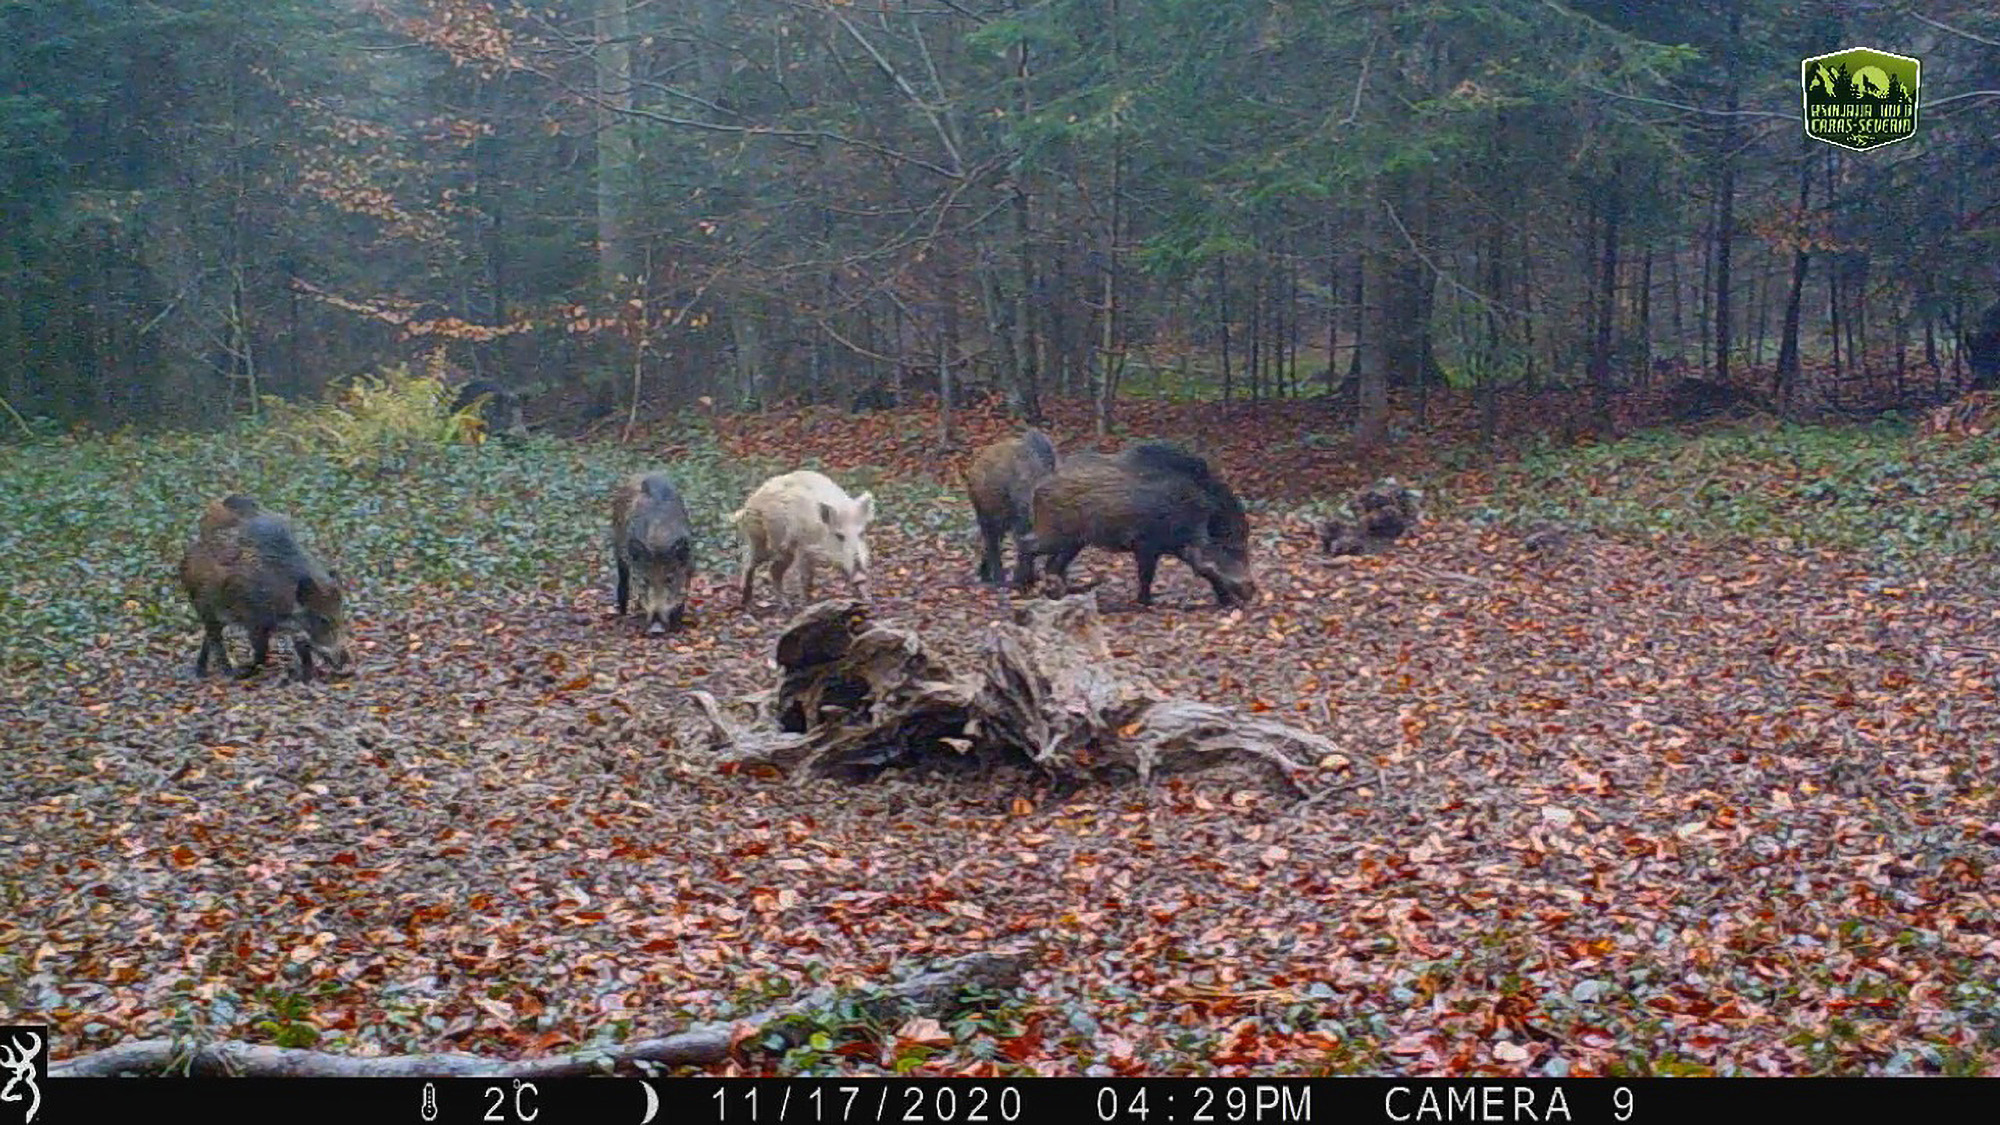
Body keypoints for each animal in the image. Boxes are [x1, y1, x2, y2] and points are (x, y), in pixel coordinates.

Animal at [177, 500, 354, 681]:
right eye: (323, 619)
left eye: (341, 614)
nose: (346, 663)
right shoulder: (254, 621)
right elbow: (262, 653)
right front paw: (245, 671)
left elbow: (303, 651)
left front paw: (304, 677)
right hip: (205, 607)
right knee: (215, 639)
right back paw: (226, 672)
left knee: (208, 638)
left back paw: (201, 672)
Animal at [611, 471, 695, 633]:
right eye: (645, 580)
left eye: (670, 579)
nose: (656, 629)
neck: (658, 541)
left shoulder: (689, 567)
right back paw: (623, 613)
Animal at [731, 470, 876, 607]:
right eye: (839, 536)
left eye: (861, 533)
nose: (861, 576)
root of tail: (751, 500)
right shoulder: (803, 547)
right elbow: (805, 577)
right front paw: (807, 603)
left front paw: (867, 599)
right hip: (760, 538)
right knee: (749, 563)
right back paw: (746, 602)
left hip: (785, 551)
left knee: (773, 569)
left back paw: (786, 605)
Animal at [1022, 442, 1256, 608]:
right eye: (1229, 546)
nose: (1252, 591)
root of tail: (1040, 485)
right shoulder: (1146, 544)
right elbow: (1147, 574)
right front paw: (1147, 603)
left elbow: (1208, 573)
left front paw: (1228, 602)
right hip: (1055, 534)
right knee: (1027, 545)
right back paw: (1023, 587)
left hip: (1074, 542)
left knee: (1052, 565)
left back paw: (1058, 592)